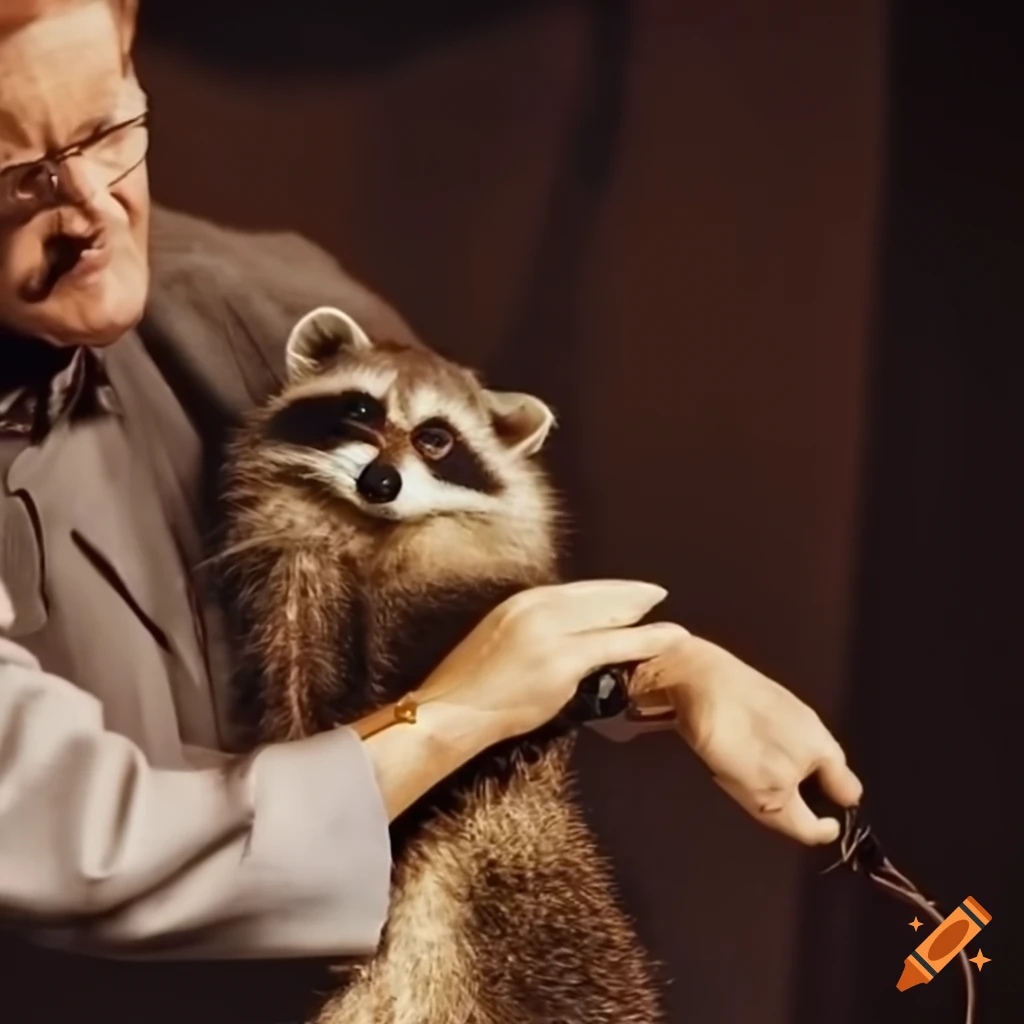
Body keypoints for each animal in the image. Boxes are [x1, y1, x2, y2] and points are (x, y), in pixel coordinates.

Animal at [216, 306, 663, 1024]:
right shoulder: (296, 594)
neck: (371, 533)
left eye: (435, 438)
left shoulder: (469, 588)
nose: (379, 482)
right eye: (360, 408)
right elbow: (304, 702)